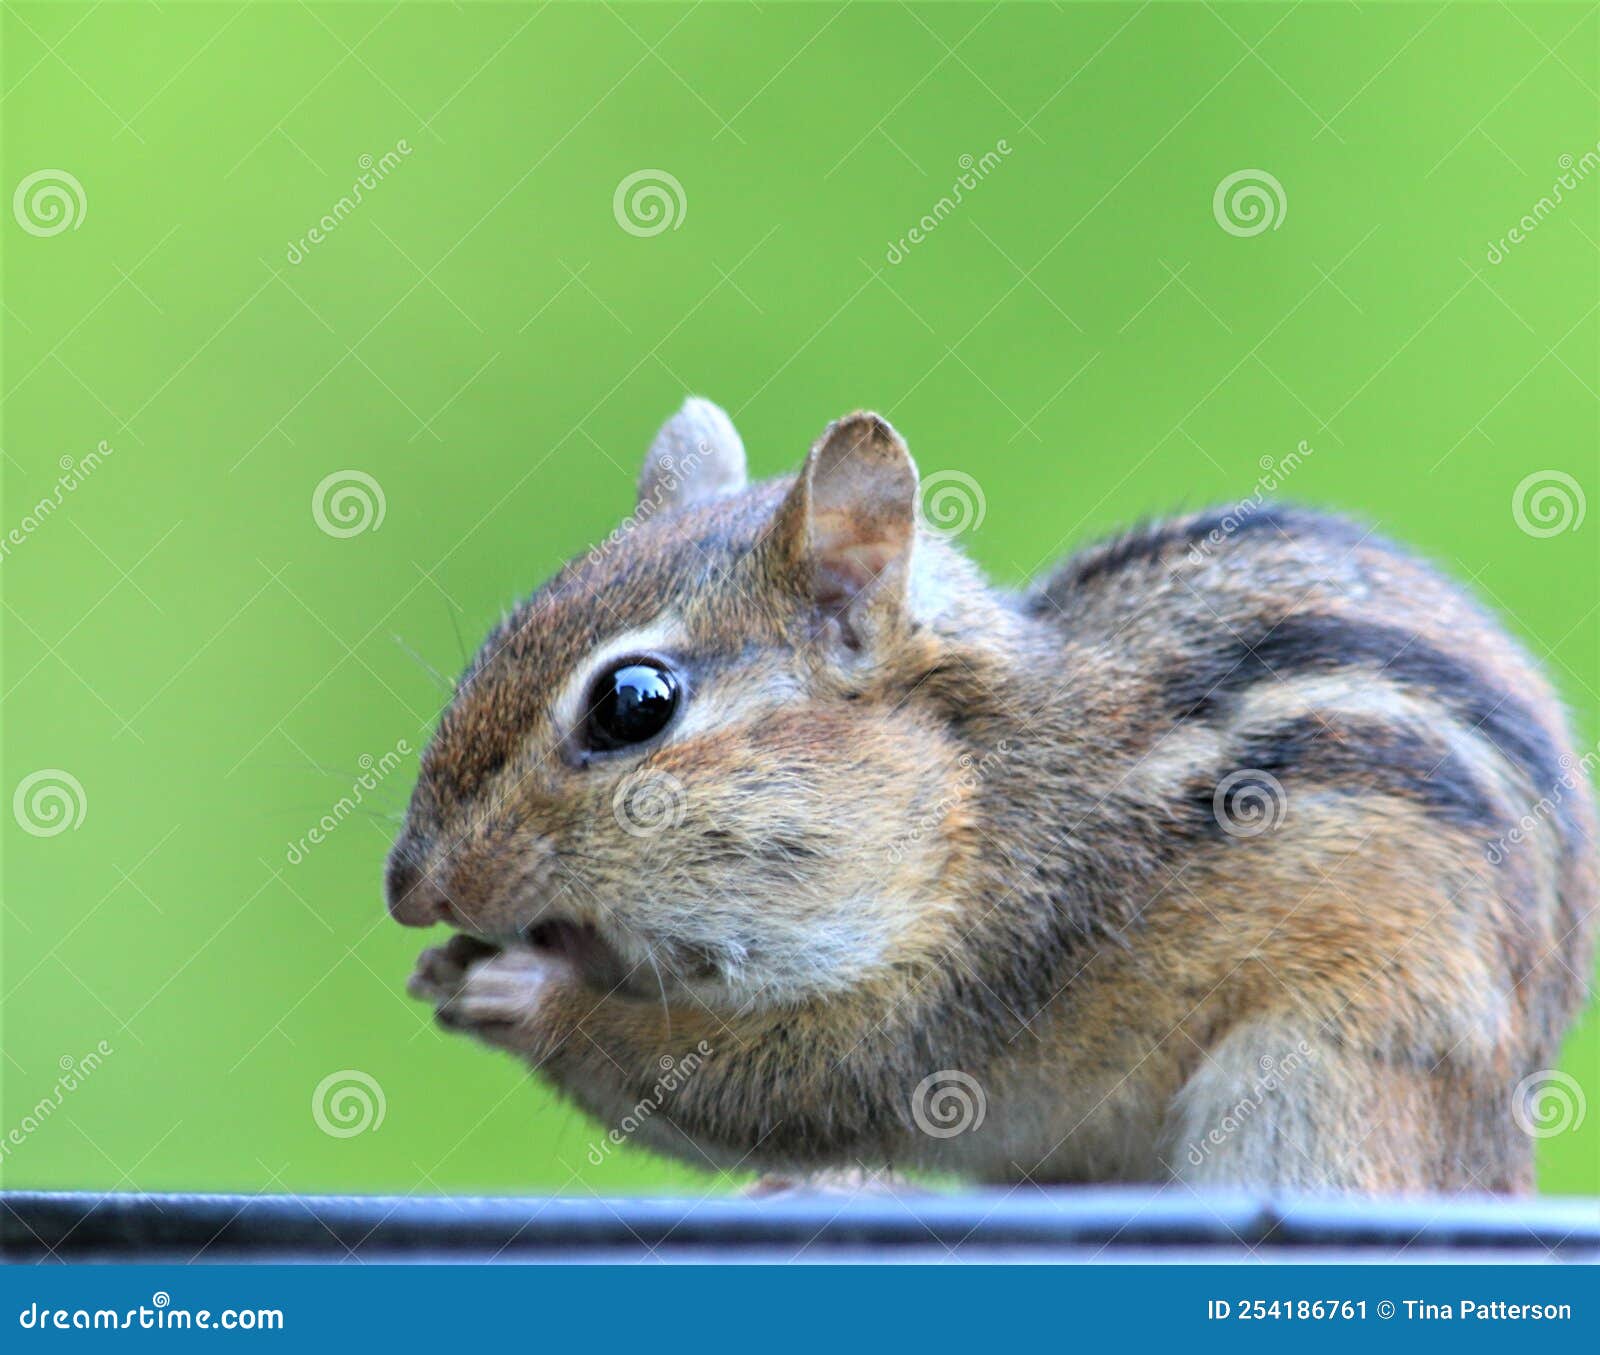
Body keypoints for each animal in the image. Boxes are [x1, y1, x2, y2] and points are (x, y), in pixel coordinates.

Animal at [390, 397, 1596, 1194]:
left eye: (633, 703)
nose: (412, 891)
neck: (972, 790)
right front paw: (454, 965)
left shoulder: (985, 967)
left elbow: (778, 1085)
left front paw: (525, 994)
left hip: (1319, 1081)